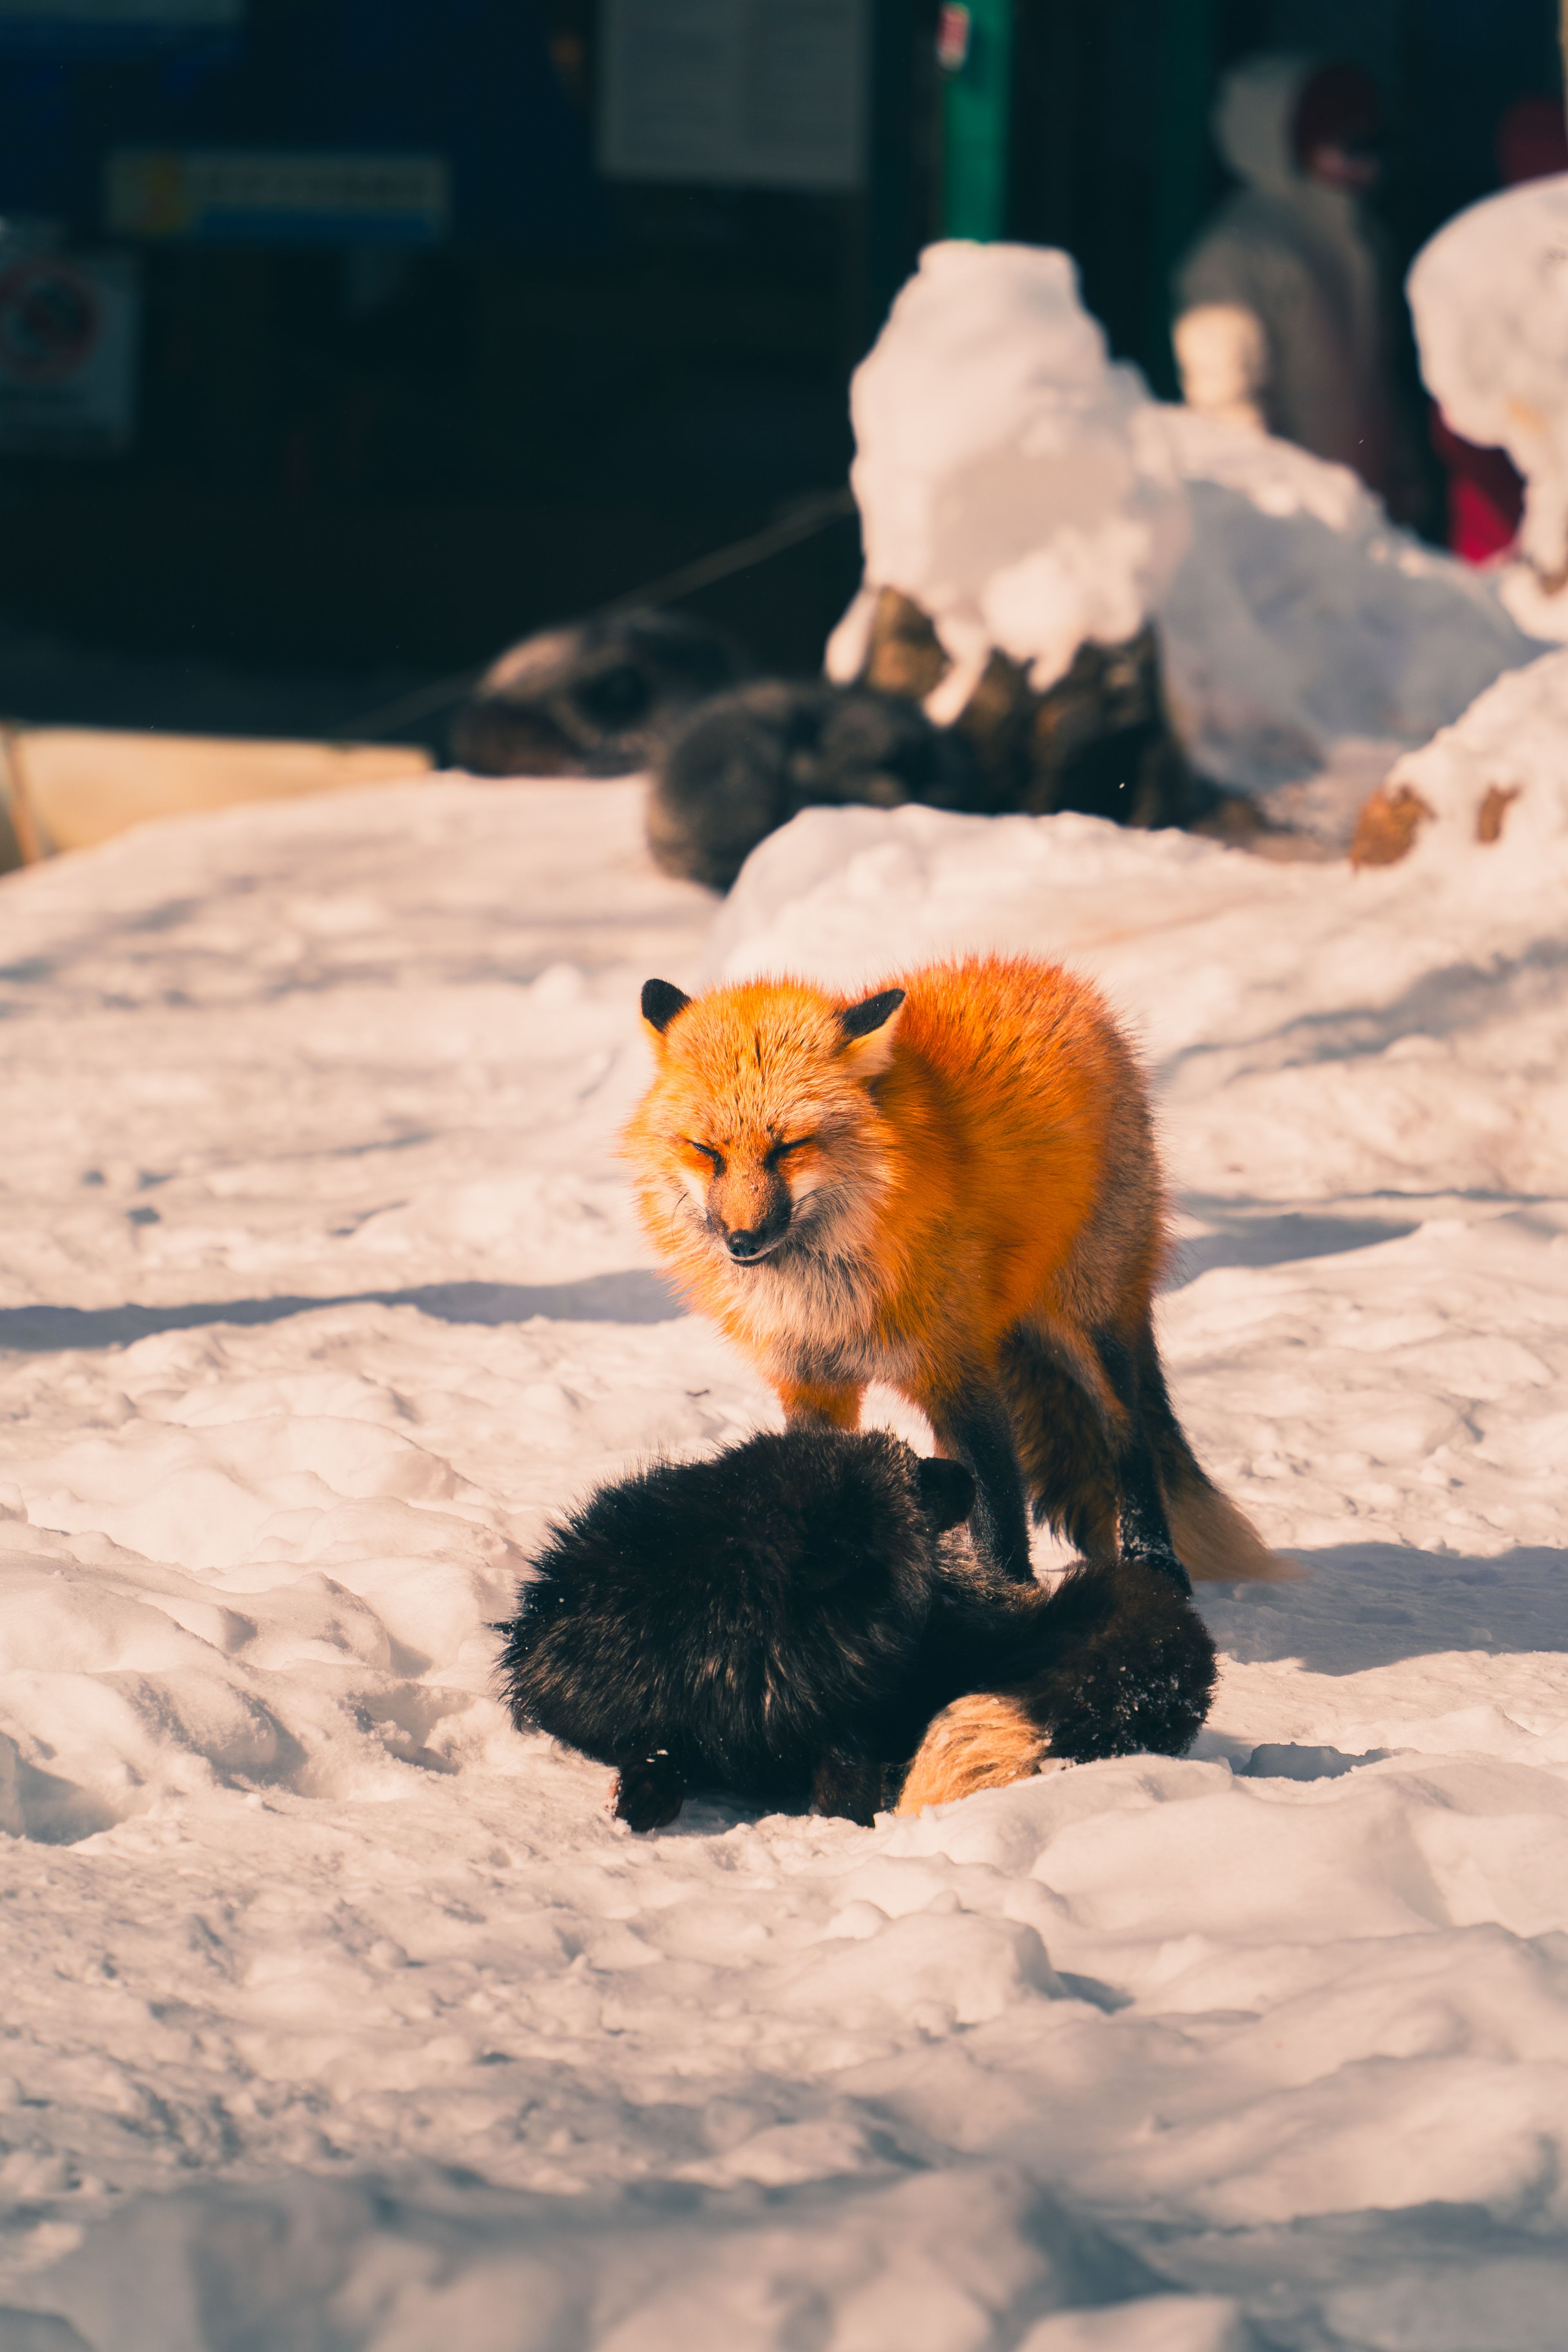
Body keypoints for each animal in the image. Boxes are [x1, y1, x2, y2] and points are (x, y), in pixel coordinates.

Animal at [624, 953, 1289, 1604]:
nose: (743, 1242)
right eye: (707, 1151)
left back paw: (1153, 1560)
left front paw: (1007, 1604)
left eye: (789, 1147)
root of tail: (1045, 974)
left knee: (1130, 1440)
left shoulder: (960, 1369)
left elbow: (1000, 1512)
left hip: (1090, 1322)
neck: (828, 1290)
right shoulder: (812, 1382)